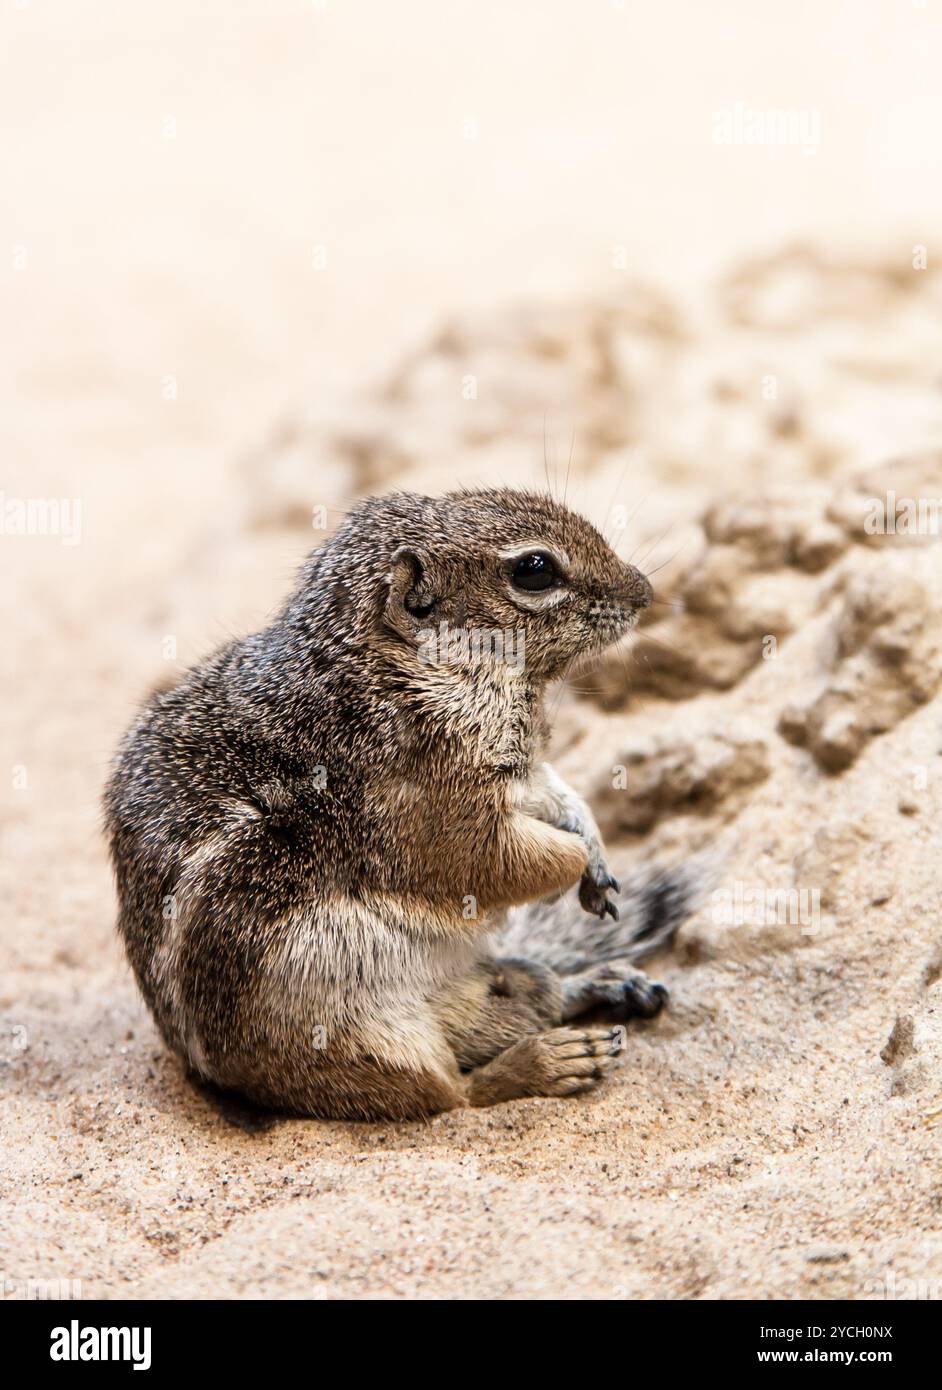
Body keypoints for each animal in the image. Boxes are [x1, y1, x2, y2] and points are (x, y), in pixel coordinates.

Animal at [104, 487, 694, 1121]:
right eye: (534, 569)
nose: (643, 591)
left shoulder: (525, 771)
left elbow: (564, 798)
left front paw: (598, 856)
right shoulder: (440, 816)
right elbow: (511, 861)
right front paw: (578, 862)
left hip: (479, 984)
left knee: (532, 995)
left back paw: (607, 984)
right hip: (368, 1038)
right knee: (455, 1095)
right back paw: (551, 1060)